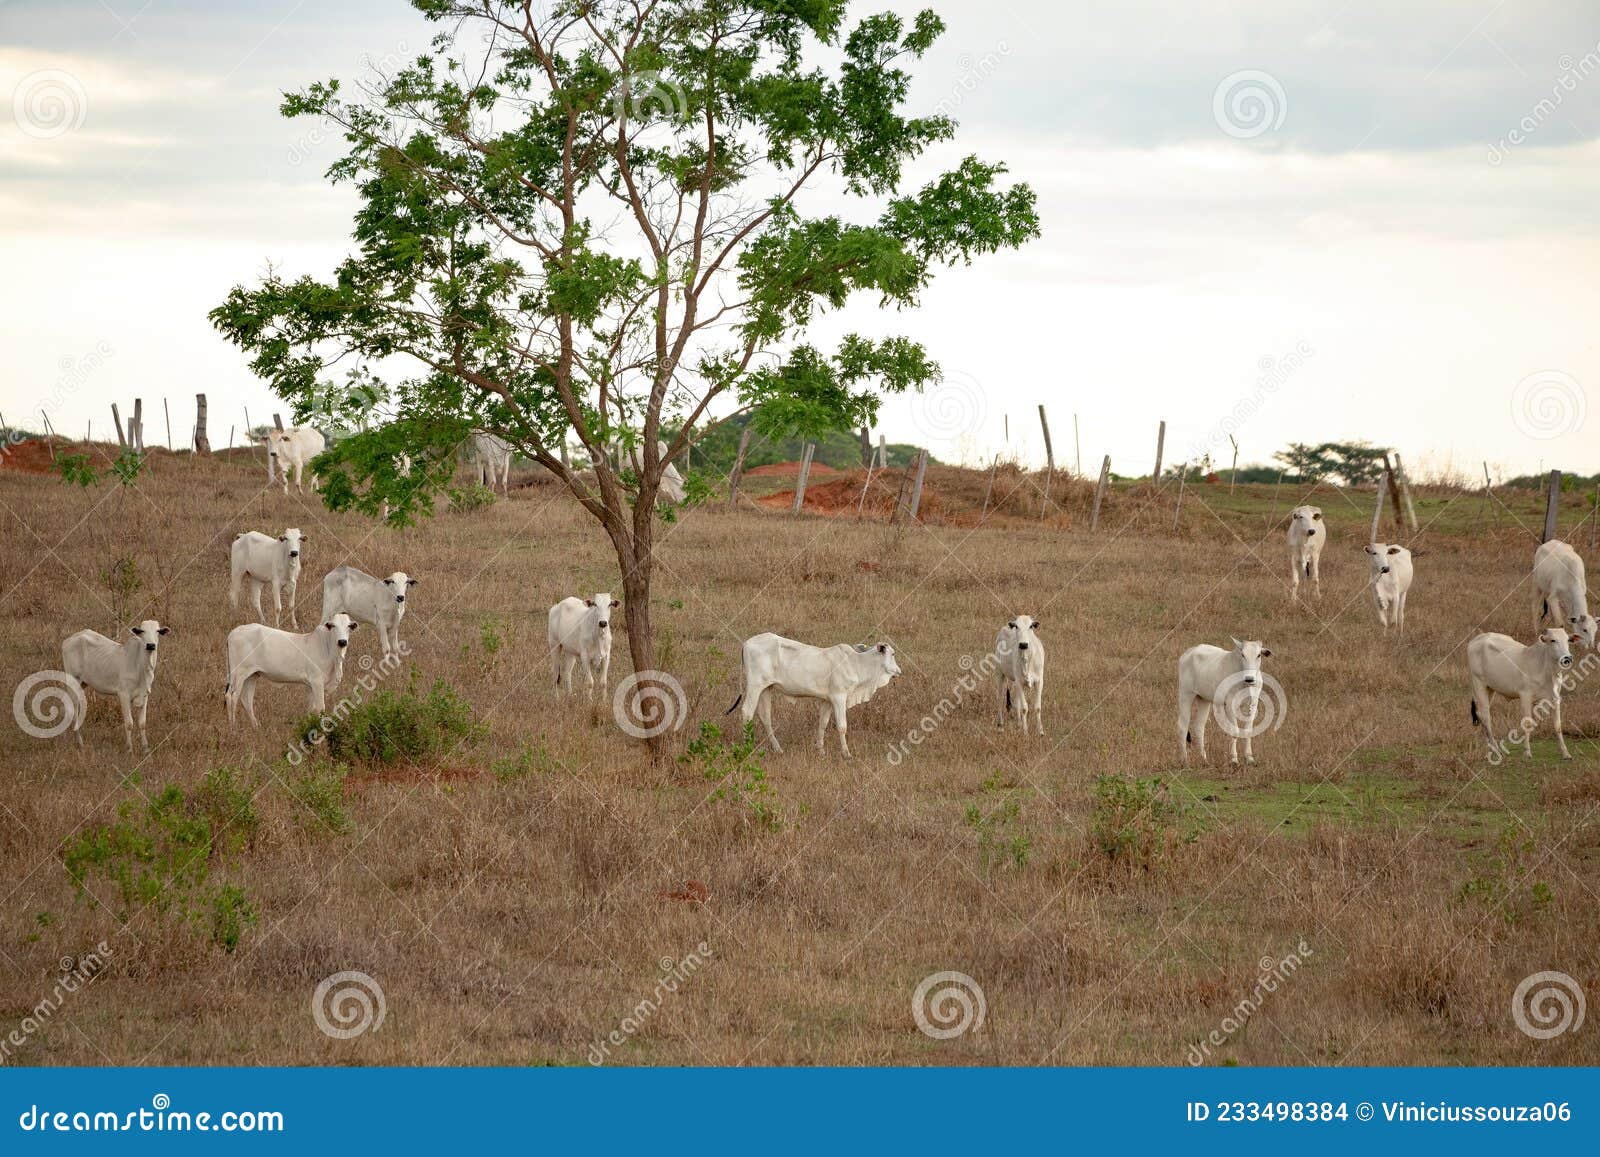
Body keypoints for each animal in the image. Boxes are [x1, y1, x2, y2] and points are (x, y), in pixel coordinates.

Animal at [61, 619, 169, 751]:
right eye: (142, 631)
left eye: (158, 631)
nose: (151, 645)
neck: (141, 665)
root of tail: (69, 640)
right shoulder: (123, 695)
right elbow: (129, 723)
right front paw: (129, 748)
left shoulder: (145, 695)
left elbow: (142, 723)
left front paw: (145, 748)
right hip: (73, 681)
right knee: (72, 711)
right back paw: (80, 743)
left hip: (82, 683)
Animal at [225, 613, 356, 727]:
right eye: (333, 625)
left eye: (349, 626)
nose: (342, 641)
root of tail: (234, 632)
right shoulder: (317, 681)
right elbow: (320, 708)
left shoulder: (311, 686)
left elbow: (311, 709)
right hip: (238, 673)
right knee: (232, 697)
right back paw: (233, 728)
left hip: (252, 675)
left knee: (247, 700)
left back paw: (255, 726)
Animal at [725, 633, 902, 757]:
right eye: (893, 654)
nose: (899, 671)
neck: (856, 663)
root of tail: (746, 643)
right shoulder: (839, 697)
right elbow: (842, 726)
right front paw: (846, 753)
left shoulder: (827, 700)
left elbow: (822, 723)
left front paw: (820, 750)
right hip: (755, 686)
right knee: (747, 712)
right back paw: (747, 745)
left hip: (766, 689)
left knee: (765, 716)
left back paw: (778, 748)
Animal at [1467, 628, 1575, 760]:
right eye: (1553, 640)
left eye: (1568, 640)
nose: (1567, 658)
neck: (1545, 669)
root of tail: (1477, 639)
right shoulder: (1525, 696)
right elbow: (1527, 723)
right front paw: (1527, 752)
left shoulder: (1555, 698)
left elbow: (1557, 725)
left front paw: (1566, 753)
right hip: (1478, 683)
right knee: (1486, 716)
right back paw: (1496, 749)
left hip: (1490, 688)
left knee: (1481, 714)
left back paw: (1491, 748)